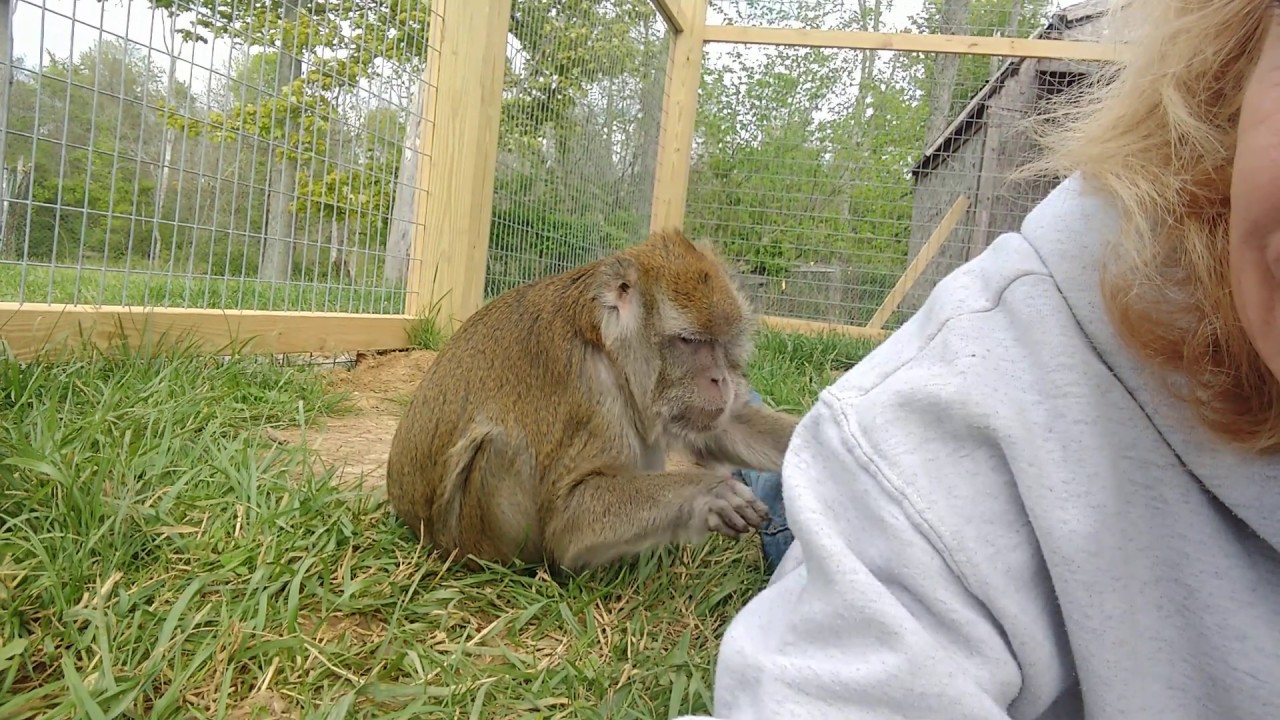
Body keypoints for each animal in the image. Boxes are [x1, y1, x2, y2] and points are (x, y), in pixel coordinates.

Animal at [384, 229, 800, 573]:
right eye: (690, 342)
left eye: (720, 342)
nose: (720, 379)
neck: (606, 346)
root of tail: (413, 523)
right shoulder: (590, 395)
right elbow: (566, 523)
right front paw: (707, 493)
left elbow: (725, 425)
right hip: (474, 535)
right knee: (501, 445)